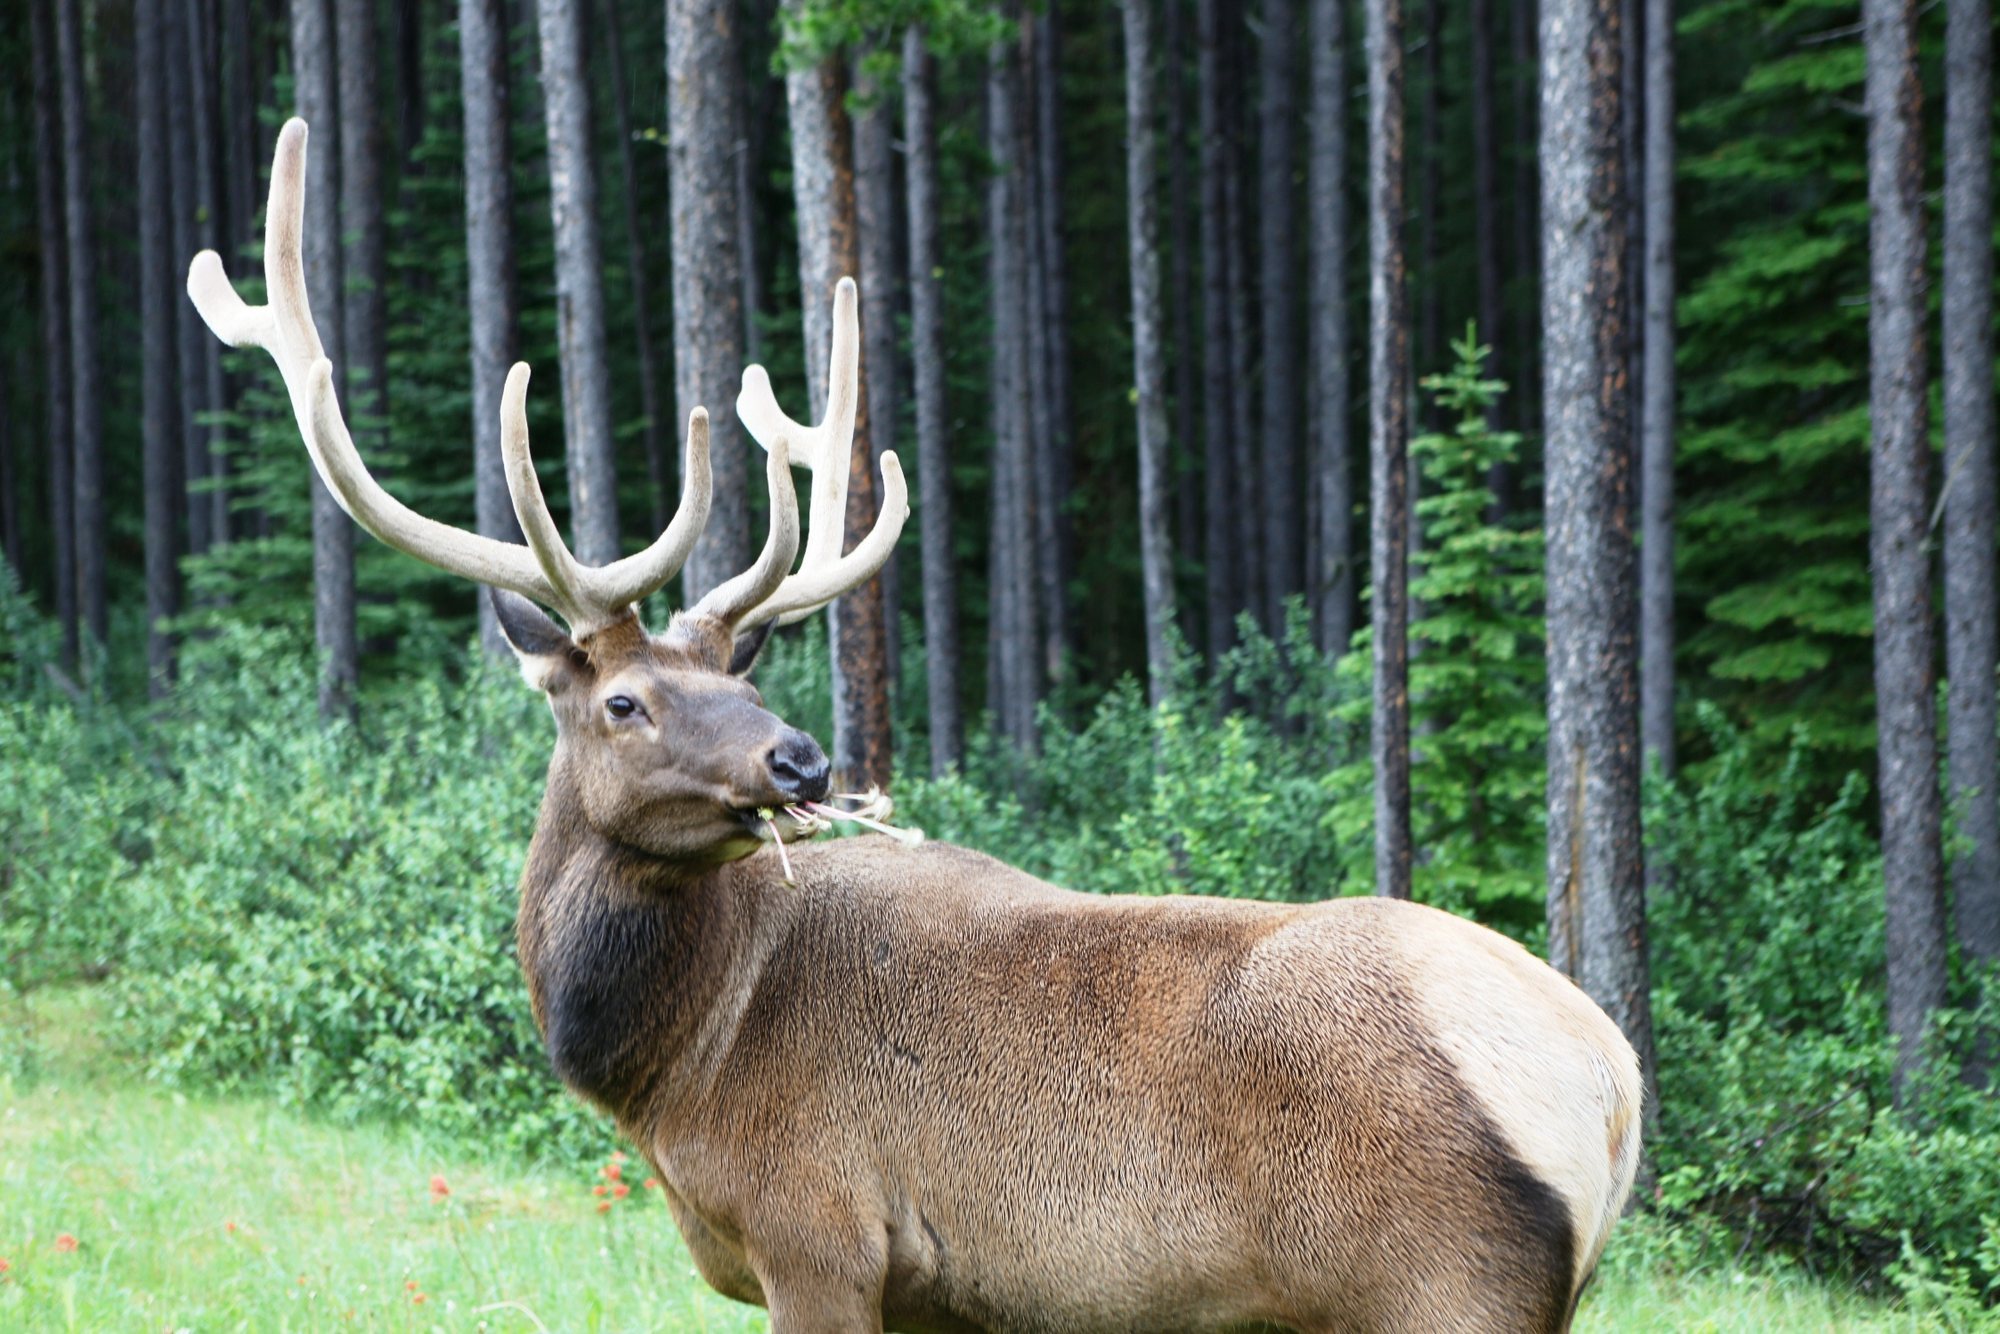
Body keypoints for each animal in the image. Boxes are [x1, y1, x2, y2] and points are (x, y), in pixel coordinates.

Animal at [189, 119, 1642, 1334]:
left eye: (741, 684)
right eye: (628, 698)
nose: (802, 756)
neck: (672, 1070)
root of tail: (1613, 1086)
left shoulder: (818, 1234)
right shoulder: (951, 1292)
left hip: (1441, 1284)